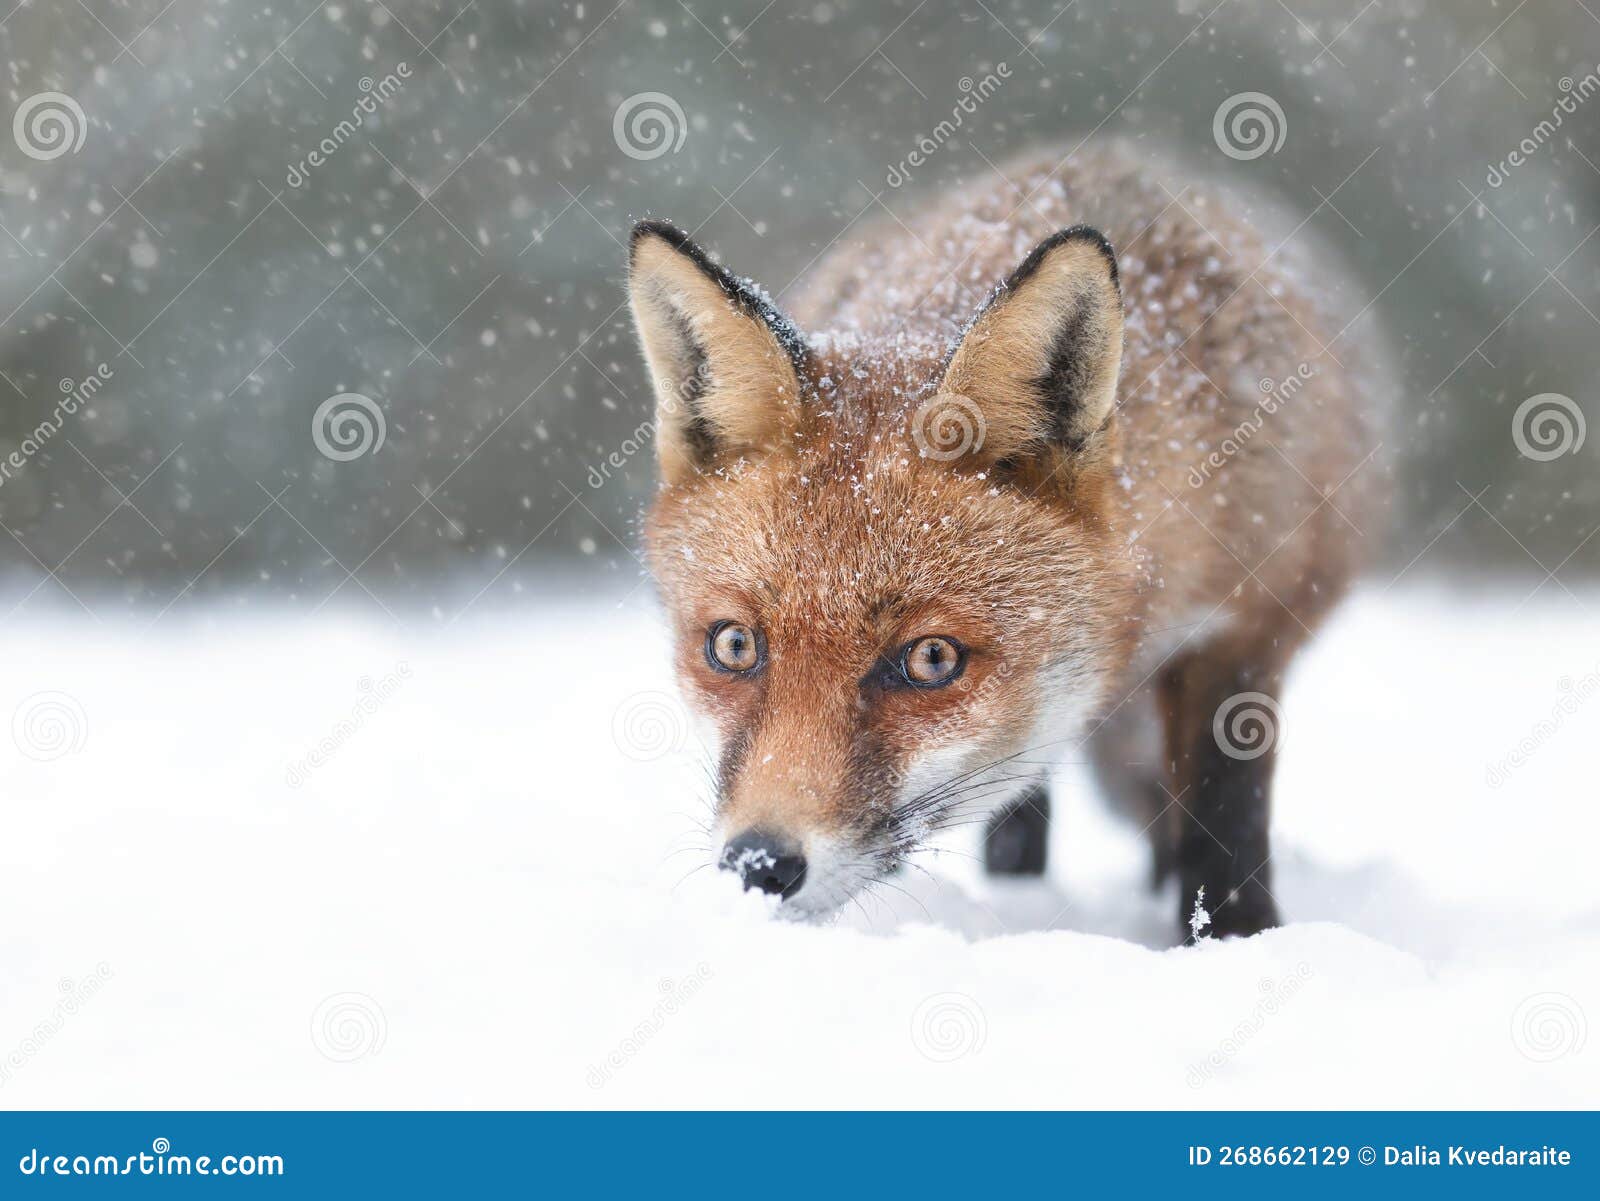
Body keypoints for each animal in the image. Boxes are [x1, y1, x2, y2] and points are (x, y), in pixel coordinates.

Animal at [628, 141, 1381, 938]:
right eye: (734, 645)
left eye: (931, 658)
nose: (760, 865)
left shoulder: (1247, 626)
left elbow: (1225, 815)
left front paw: (1237, 936)